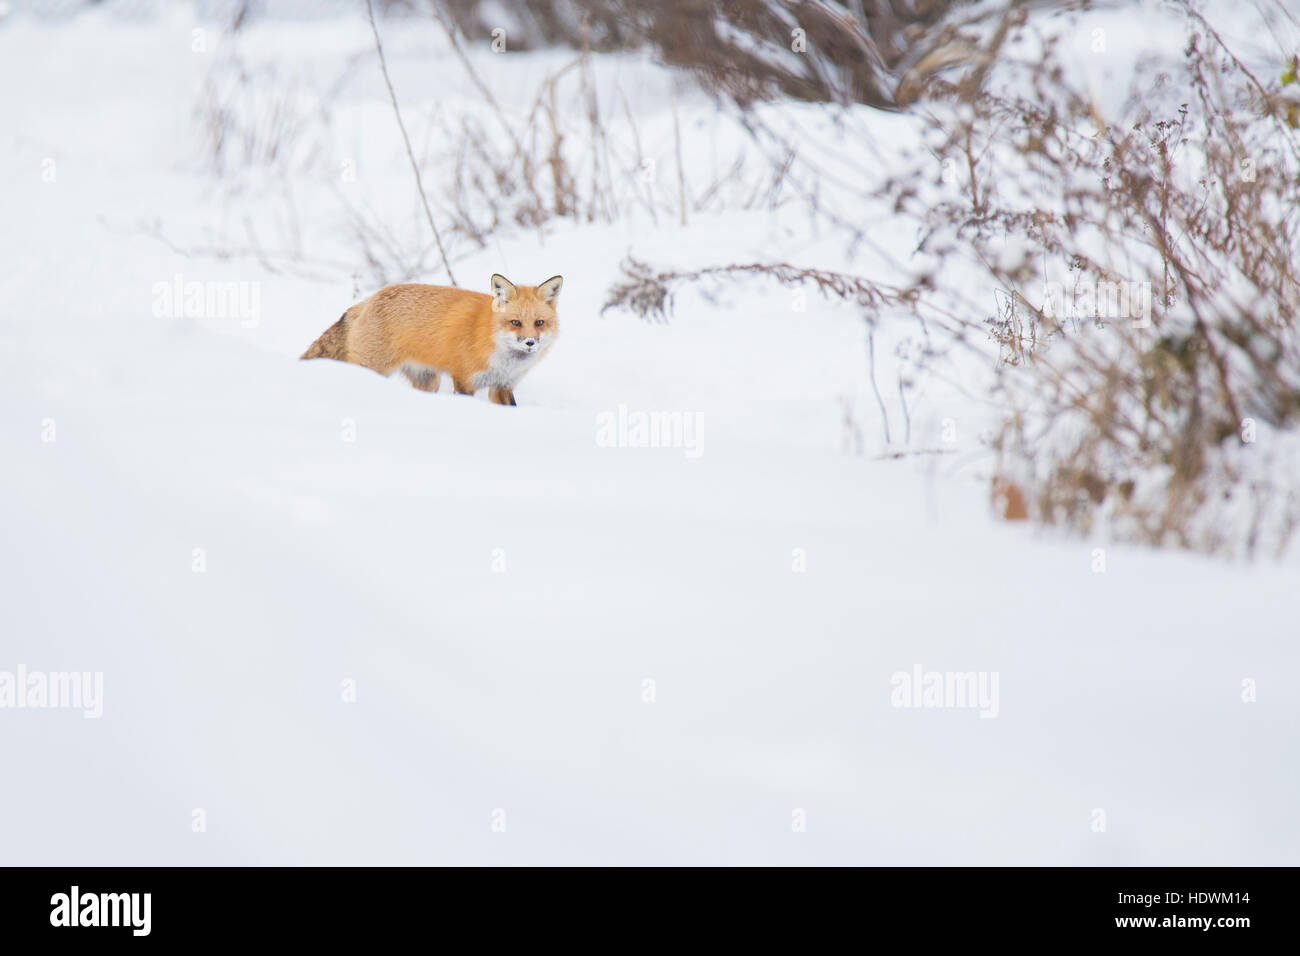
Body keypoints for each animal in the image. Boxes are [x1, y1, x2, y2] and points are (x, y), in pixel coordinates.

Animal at [301, 274, 561, 406]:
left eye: (539, 323)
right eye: (515, 323)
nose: (530, 343)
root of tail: (369, 299)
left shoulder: (503, 386)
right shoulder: (464, 381)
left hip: (428, 382)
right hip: (373, 368)